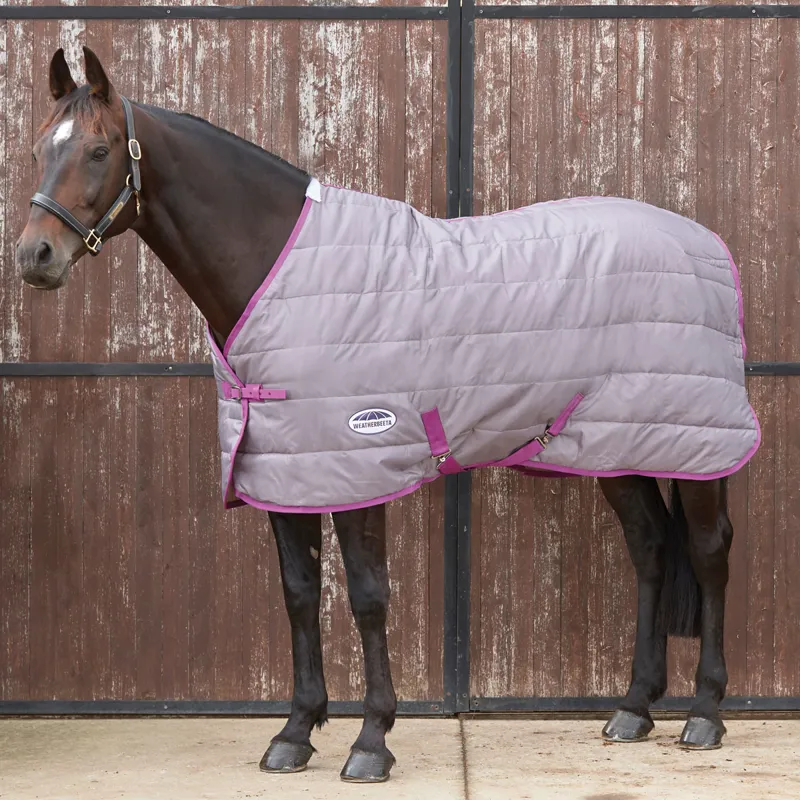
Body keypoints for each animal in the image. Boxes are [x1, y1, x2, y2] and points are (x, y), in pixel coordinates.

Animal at [16, 47, 755, 783]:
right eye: (38, 149)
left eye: (99, 149)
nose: (33, 256)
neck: (281, 273)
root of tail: (705, 243)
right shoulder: (286, 471)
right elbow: (299, 593)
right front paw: (295, 732)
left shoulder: (361, 466)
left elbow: (368, 596)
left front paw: (372, 740)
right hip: (617, 445)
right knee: (650, 547)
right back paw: (634, 708)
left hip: (697, 445)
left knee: (708, 551)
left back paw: (704, 714)